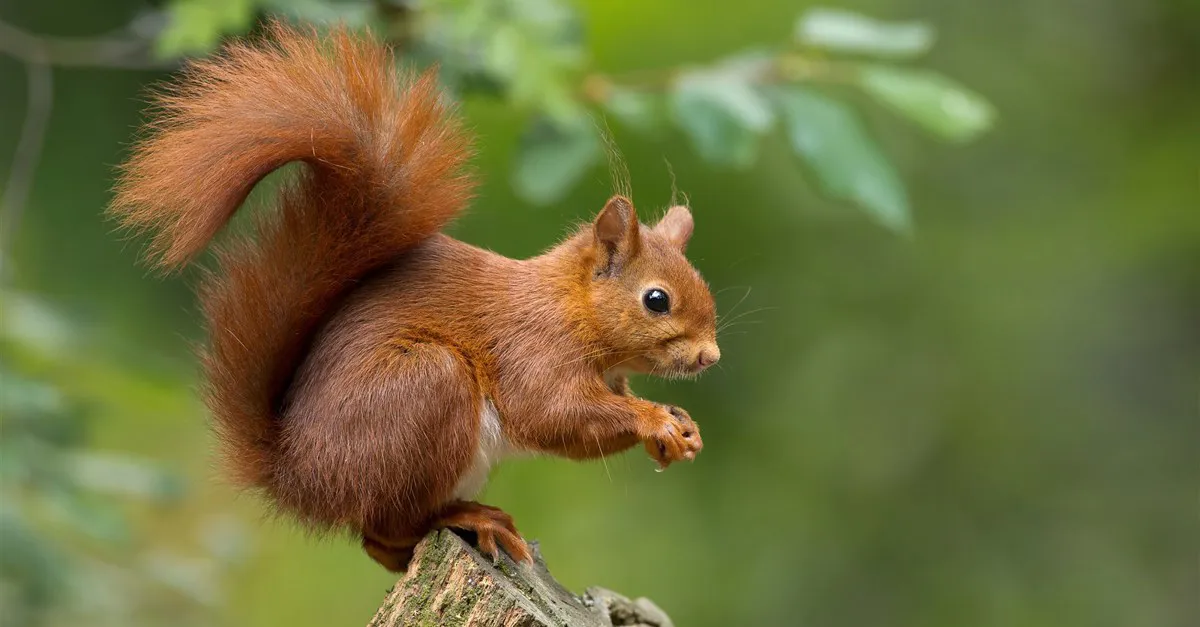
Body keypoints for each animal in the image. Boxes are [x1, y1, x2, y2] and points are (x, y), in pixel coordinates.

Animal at [108, 22, 720, 572]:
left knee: (378, 546)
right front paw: (654, 421)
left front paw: (680, 428)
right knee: (386, 527)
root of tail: (299, 479)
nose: (710, 356)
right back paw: (468, 517)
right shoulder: (533, 348)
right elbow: (552, 414)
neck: (571, 308)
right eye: (657, 299)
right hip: (425, 390)